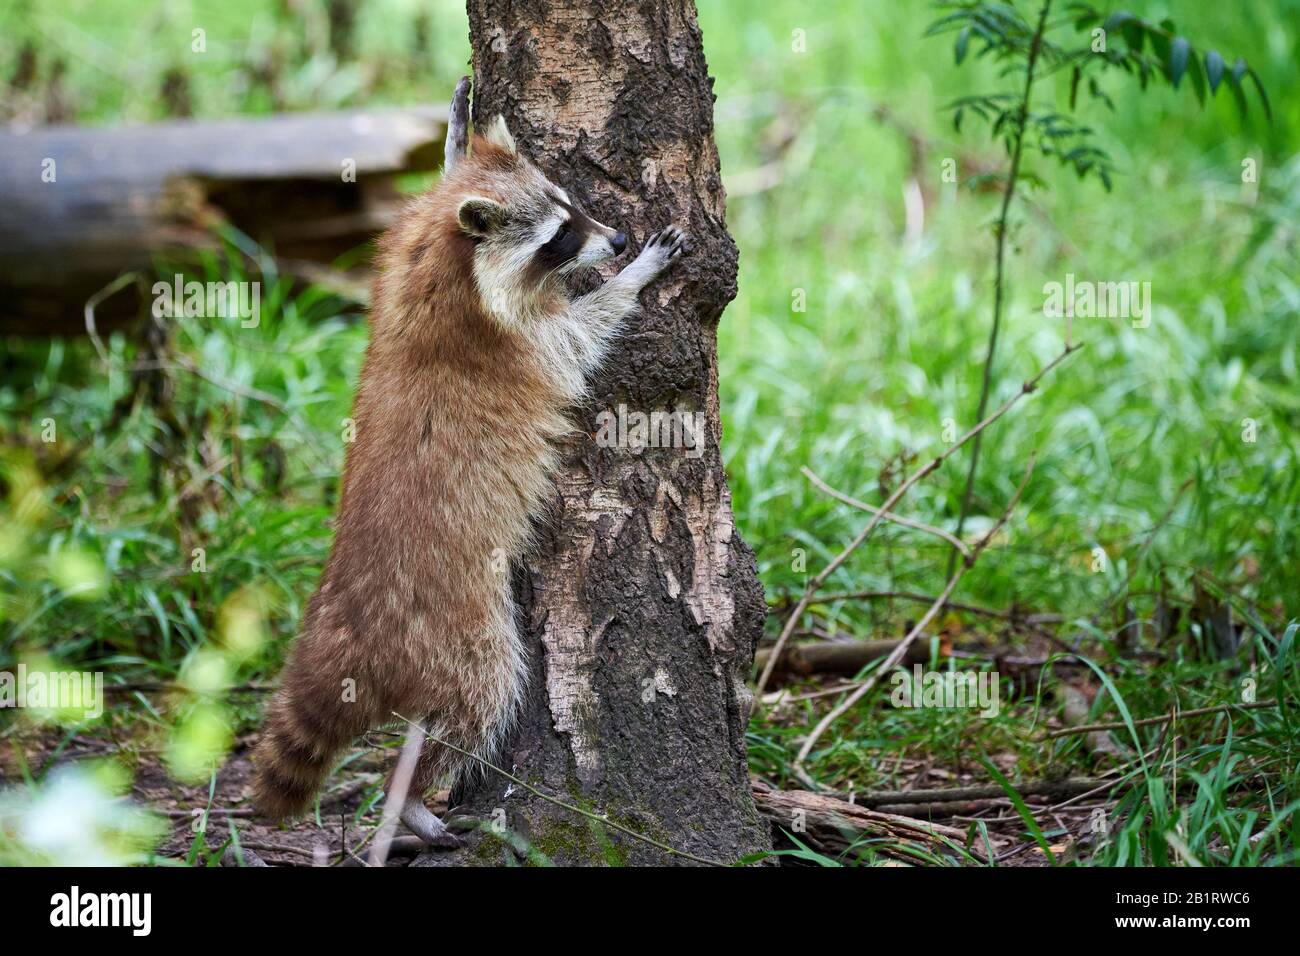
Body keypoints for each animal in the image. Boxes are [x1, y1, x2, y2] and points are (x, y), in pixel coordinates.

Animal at [250, 83, 686, 847]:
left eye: (569, 202)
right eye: (559, 236)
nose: (617, 241)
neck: (453, 257)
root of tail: (344, 636)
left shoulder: (400, 259)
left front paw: (459, 132)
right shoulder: (514, 339)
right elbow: (581, 337)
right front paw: (629, 281)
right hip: (458, 634)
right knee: (479, 699)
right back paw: (413, 795)